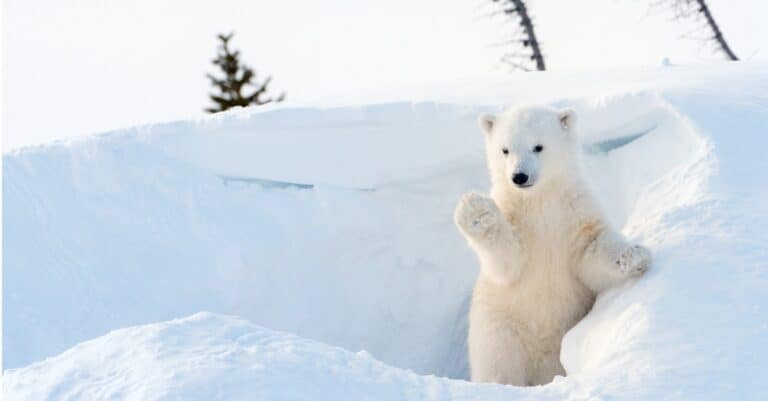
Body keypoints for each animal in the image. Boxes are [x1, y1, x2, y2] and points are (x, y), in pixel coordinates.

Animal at [454, 105, 651, 386]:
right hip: (500, 329)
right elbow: (508, 262)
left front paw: (633, 256)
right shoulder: (516, 219)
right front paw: (476, 211)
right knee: (500, 365)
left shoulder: (574, 212)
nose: (519, 176)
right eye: (505, 150)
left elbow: (591, 250)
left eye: (538, 146)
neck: (540, 201)